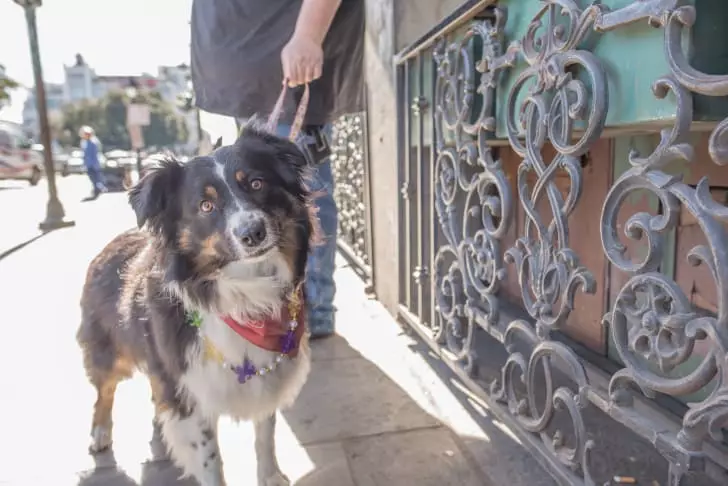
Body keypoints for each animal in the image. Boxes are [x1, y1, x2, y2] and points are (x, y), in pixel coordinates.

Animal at [76, 123, 316, 484]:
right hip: (110, 349)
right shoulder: (192, 386)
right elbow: (209, 458)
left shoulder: (264, 378)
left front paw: (270, 475)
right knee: (104, 391)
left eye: (256, 183)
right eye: (205, 206)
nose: (253, 233)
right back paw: (100, 433)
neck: (246, 296)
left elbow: (265, 433)